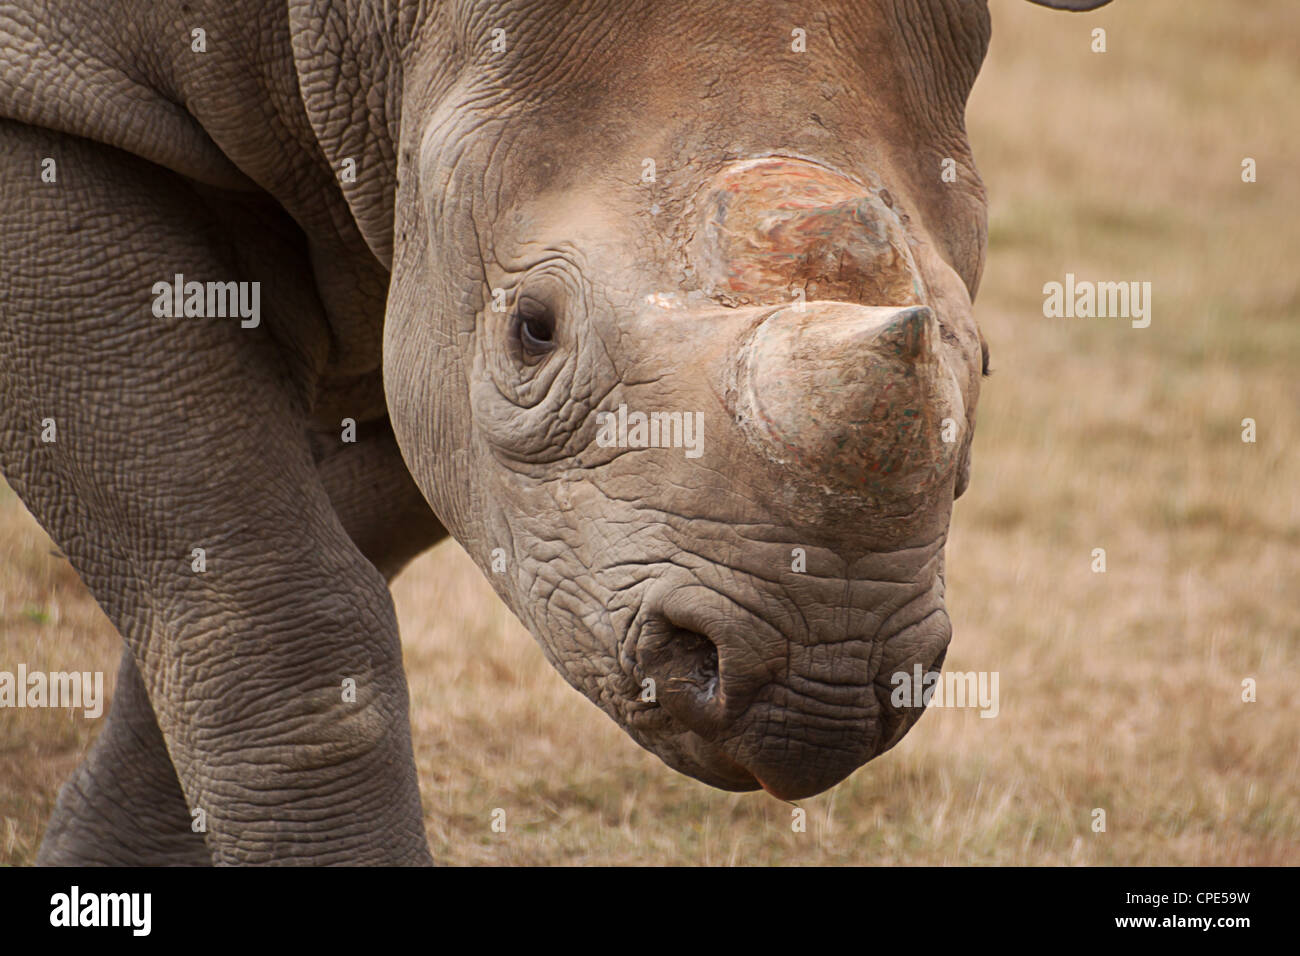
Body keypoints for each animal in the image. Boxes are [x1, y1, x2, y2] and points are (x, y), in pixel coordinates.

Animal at [0, 0, 1109, 865]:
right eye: (532, 330)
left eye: (984, 364)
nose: (819, 673)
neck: (383, 30)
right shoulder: (39, 103)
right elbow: (273, 607)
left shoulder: (406, 242)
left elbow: (251, 566)